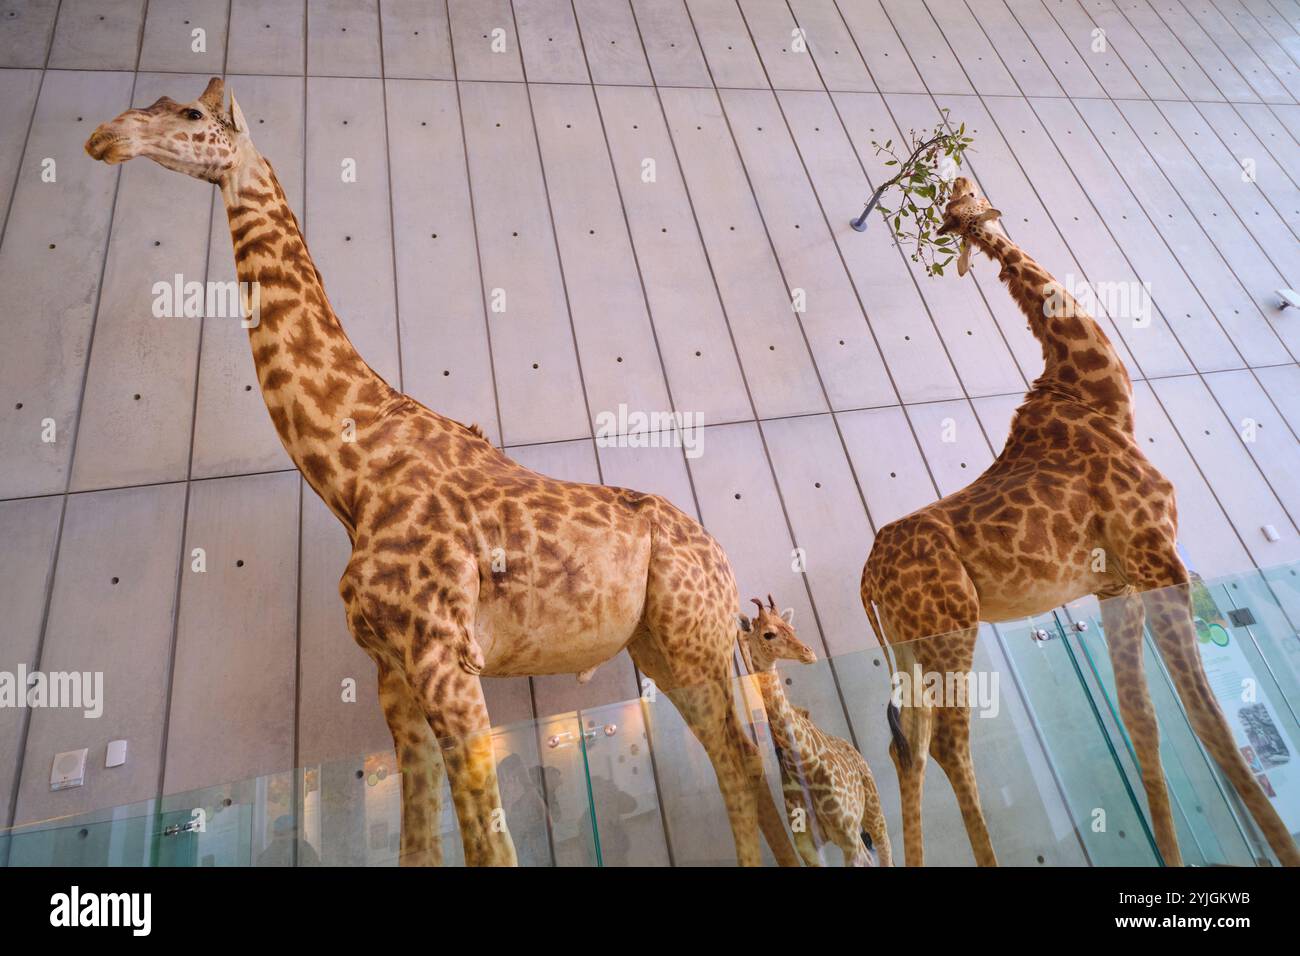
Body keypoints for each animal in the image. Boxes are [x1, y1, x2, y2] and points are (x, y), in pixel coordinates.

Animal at [84, 77, 799, 867]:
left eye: (188, 114)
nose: (105, 137)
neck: (354, 471)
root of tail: (723, 558)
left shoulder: (444, 659)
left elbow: (492, 847)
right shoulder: (390, 671)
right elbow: (418, 846)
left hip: (690, 640)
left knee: (734, 757)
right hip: (666, 646)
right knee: (739, 754)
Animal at [739, 597, 892, 867]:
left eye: (792, 629)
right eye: (768, 634)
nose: (808, 652)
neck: (804, 762)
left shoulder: (848, 836)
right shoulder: (807, 845)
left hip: (872, 809)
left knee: (885, 848)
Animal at [860, 177, 1300, 868]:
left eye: (964, 200)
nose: (962, 187)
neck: (1097, 394)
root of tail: (869, 574)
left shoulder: (1117, 585)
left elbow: (1143, 723)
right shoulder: (1157, 554)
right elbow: (1209, 721)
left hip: (910, 644)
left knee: (908, 743)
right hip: (952, 628)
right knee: (949, 744)